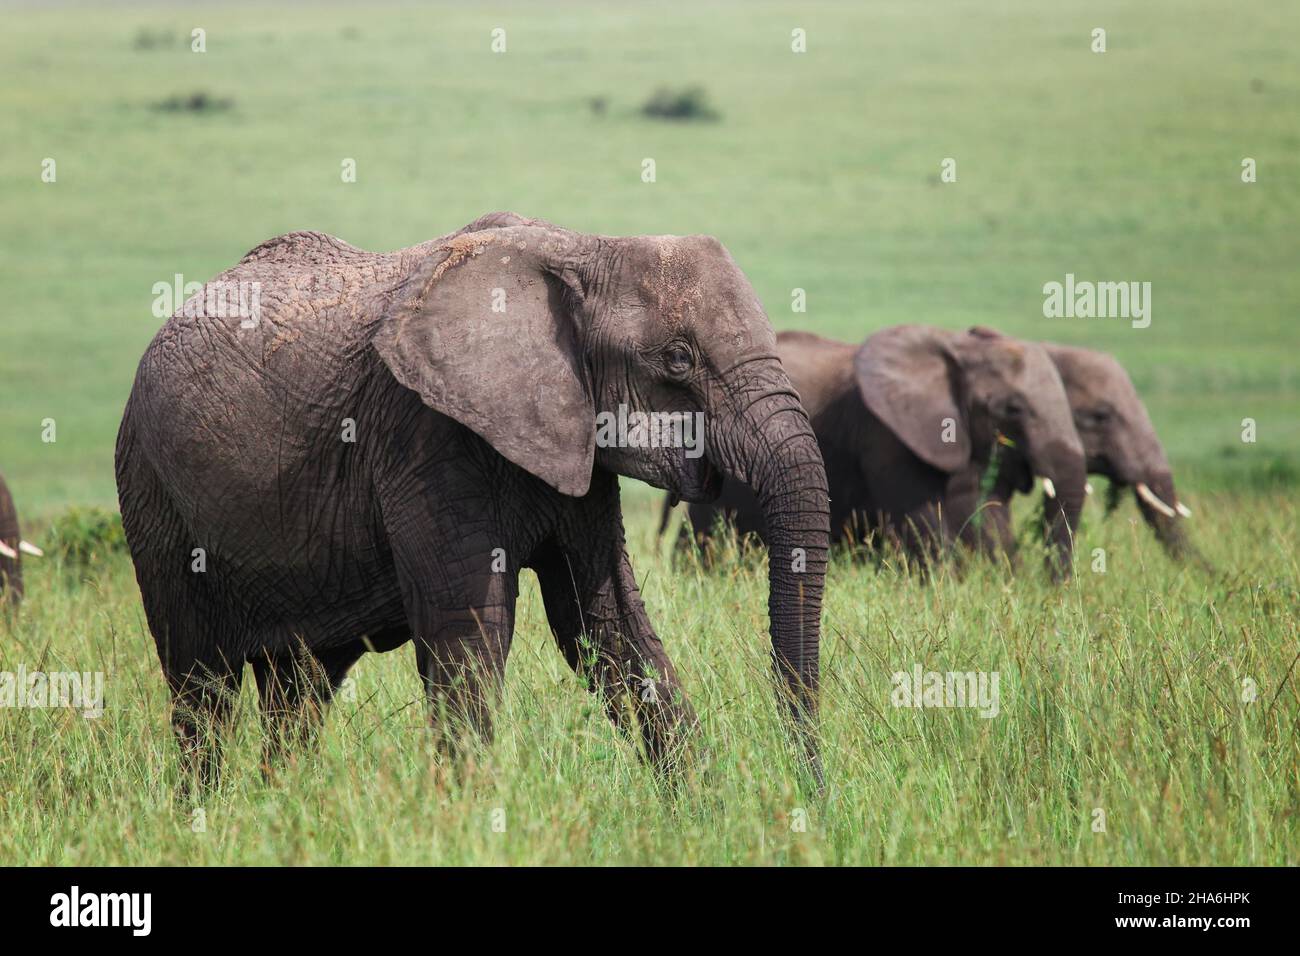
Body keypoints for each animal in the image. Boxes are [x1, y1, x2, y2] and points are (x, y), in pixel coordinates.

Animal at [115, 211, 830, 788]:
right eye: (678, 359)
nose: (811, 791)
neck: (583, 247)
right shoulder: (426, 435)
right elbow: (469, 630)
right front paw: (469, 819)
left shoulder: (574, 441)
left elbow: (606, 624)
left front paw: (710, 813)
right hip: (151, 488)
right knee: (201, 686)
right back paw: (205, 816)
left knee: (300, 690)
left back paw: (278, 810)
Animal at [667, 325, 1087, 576]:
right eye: (1013, 409)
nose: (1054, 590)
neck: (955, 347)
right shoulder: (886, 435)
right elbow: (922, 518)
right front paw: (949, 582)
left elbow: (988, 514)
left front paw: (1001, 579)